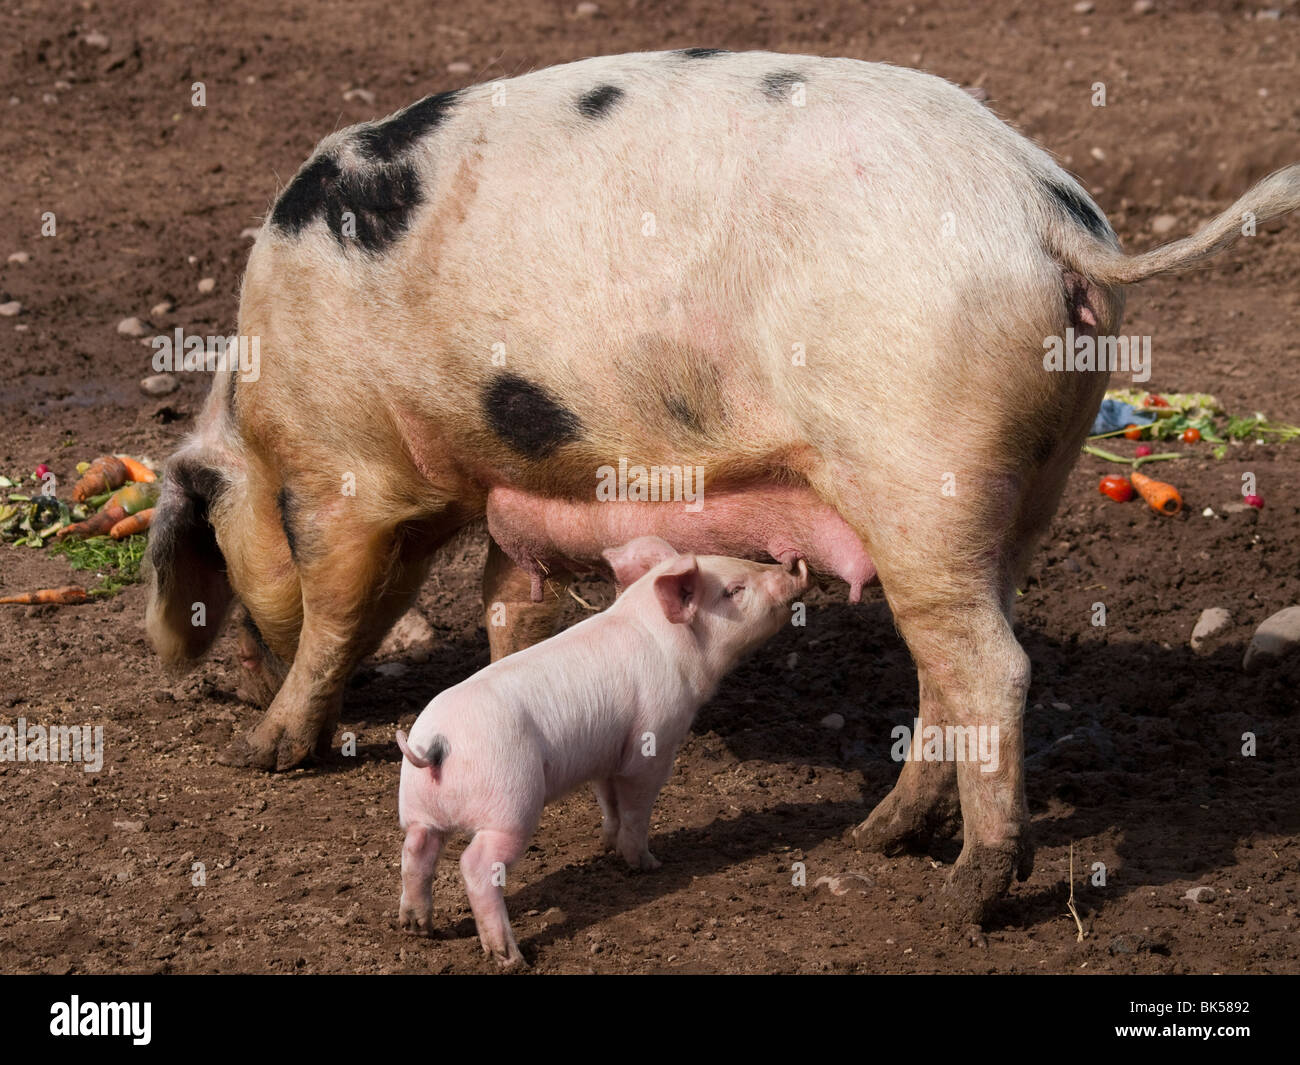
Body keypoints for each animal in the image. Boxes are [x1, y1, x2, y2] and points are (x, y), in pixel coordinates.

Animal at [144, 48, 1300, 921]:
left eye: (220, 558)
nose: (223, 691)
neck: (257, 415)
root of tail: (1048, 221)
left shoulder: (347, 473)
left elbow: (339, 609)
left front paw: (262, 750)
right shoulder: (512, 496)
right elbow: (509, 609)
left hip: (916, 463)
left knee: (993, 669)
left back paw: (963, 895)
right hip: (1022, 485)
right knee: (955, 665)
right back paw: (879, 836)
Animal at [395, 537, 809, 966]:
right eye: (734, 590)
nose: (795, 564)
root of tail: (437, 744)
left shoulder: (606, 753)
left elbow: (609, 802)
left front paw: (606, 846)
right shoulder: (651, 744)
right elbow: (636, 809)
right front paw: (648, 863)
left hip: (417, 806)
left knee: (415, 849)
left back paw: (416, 927)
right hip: (509, 803)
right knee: (475, 864)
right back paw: (511, 957)